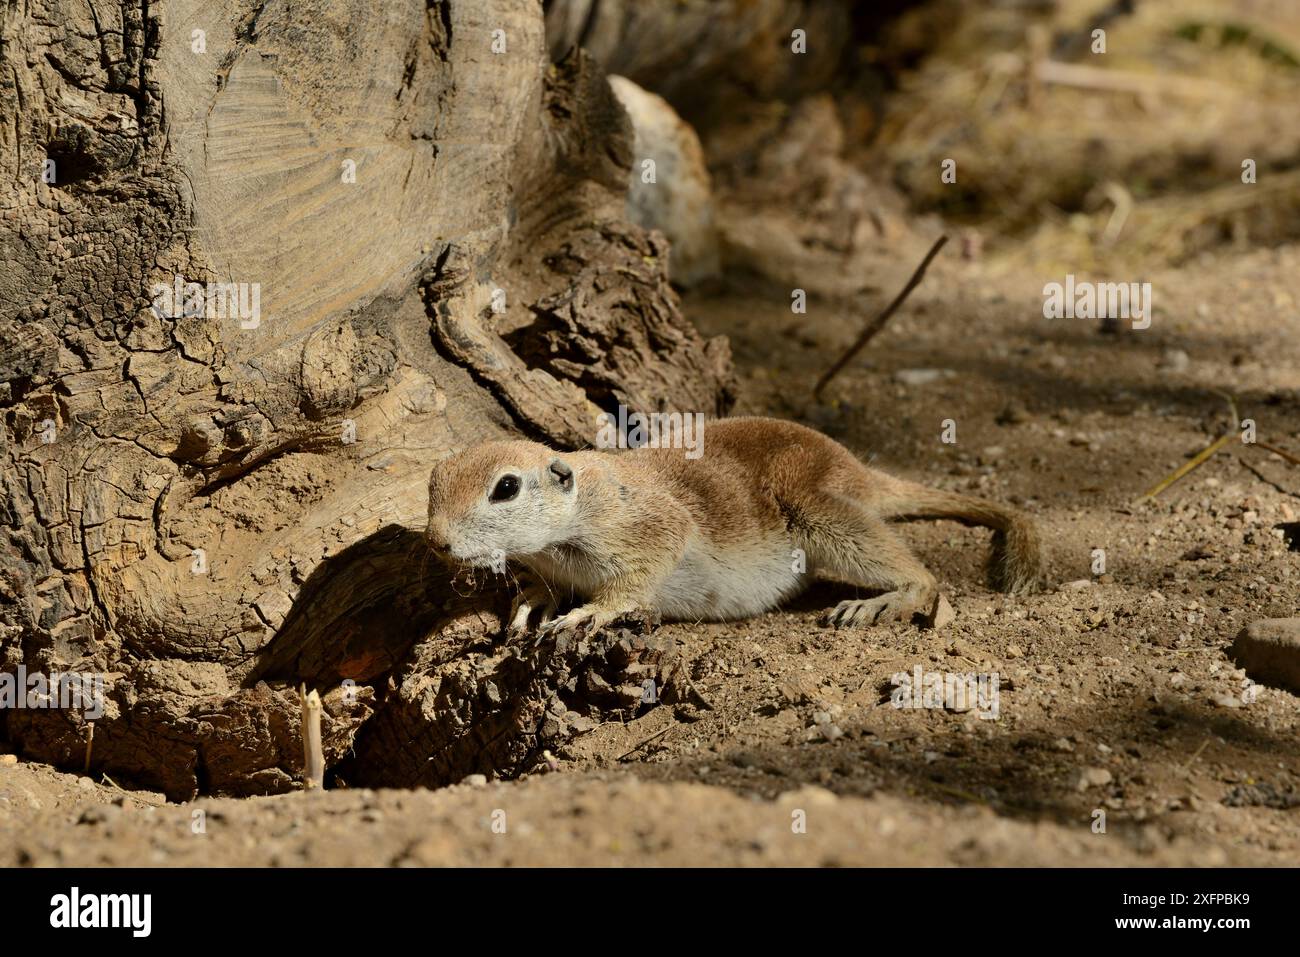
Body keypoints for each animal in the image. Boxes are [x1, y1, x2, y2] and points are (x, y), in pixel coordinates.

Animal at [425, 416, 1043, 634]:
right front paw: (531, 601)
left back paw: (885, 600)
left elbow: (645, 566)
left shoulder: (642, 522)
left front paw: (589, 612)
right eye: (432, 480)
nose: (436, 541)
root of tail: (859, 470)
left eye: (506, 488)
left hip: (819, 509)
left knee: (920, 574)